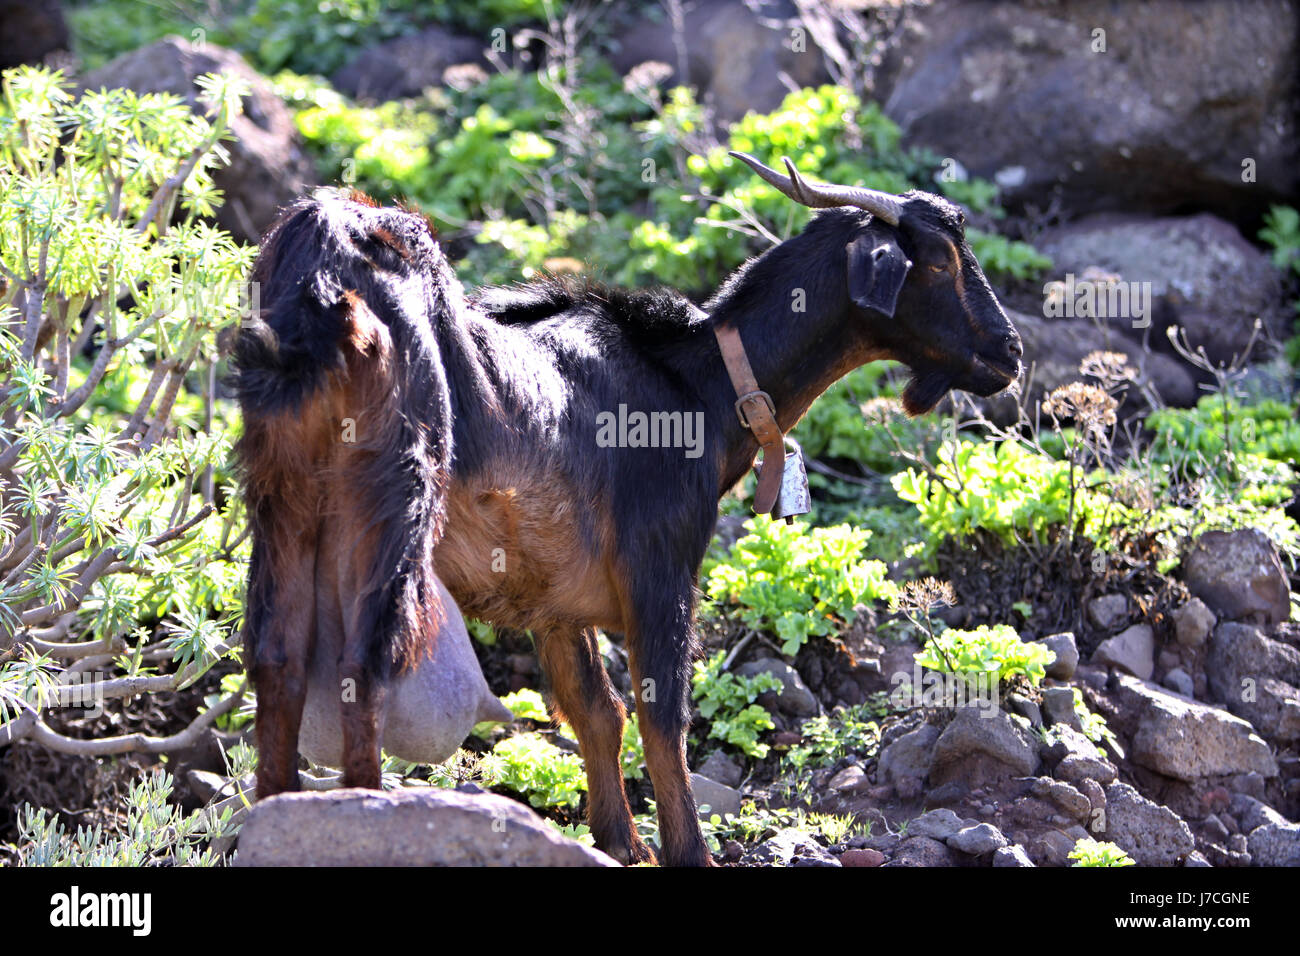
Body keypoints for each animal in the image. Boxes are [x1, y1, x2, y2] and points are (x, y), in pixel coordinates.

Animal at [232, 153, 1022, 867]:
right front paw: (689, 852)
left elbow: (596, 711)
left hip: (285, 498)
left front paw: (619, 841)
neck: (701, 381)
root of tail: (326, 270)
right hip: (395, 495)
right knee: (362, 668)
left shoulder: (552, 598)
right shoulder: (660, 565)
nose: (1009, 352)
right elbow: (660, 715)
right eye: (940, 262)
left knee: (278, 659)